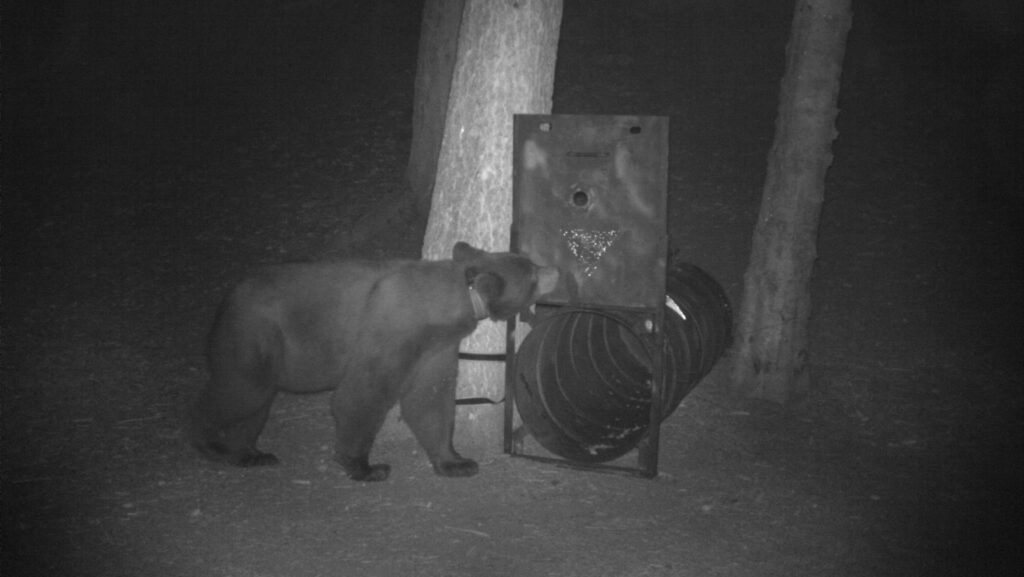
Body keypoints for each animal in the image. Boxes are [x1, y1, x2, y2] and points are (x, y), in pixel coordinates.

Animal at [187, 242, 559, 481]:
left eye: (529, 262)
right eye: (532, 273)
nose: (554, 268)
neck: (451, 303)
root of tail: (228, 297)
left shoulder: (435, 347)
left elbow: (429, 399)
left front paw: (457, 462)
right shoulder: (393, 331)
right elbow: (363, 393)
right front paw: (365, 466)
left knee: (255, 405)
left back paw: (251, 453)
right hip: (253, 336)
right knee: (241, 392)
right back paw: (209, 443)